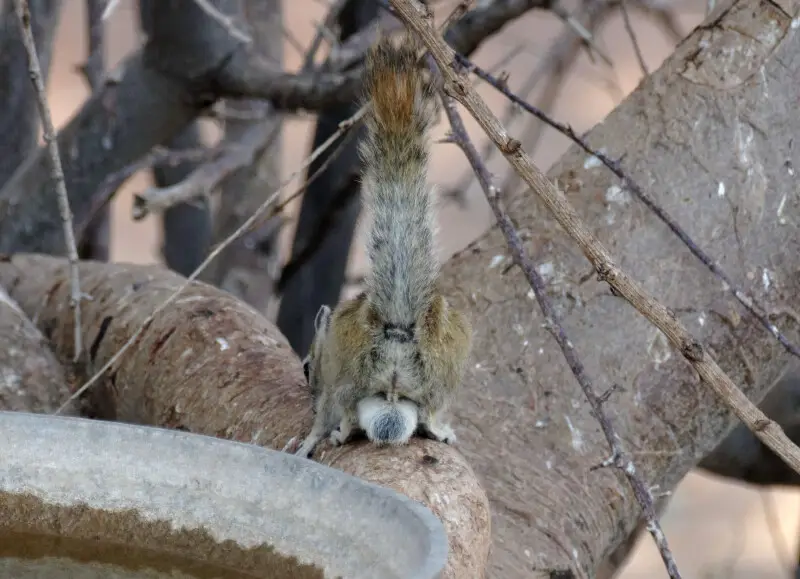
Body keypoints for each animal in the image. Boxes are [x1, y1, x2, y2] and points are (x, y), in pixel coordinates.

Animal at [293, 36, 472, 459]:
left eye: (307, 367)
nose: (308, 386)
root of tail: (398, 331)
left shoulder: (329, 385)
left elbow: (320, 419)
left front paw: (308, 440)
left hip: (349, 381)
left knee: (343, 409)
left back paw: (341, 432)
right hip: (440, 381)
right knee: (429, 411)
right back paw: (440, 431)